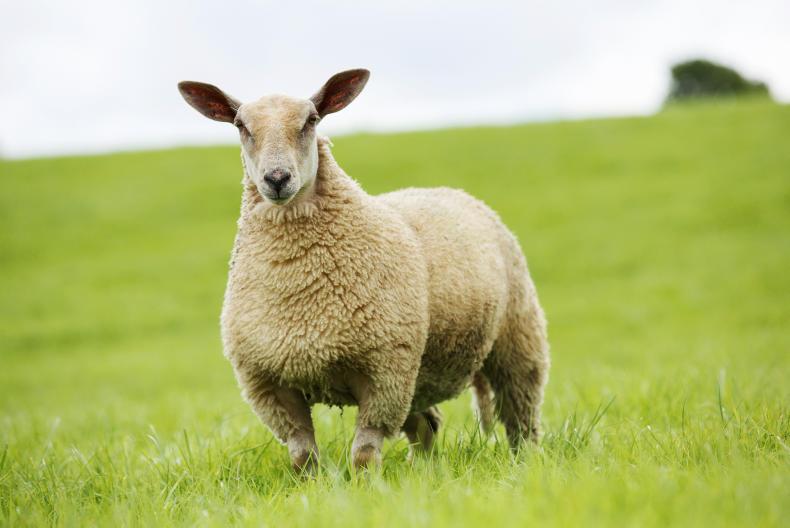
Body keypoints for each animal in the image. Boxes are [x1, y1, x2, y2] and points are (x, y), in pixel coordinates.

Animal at [177, 69, 550, 470]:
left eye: (311, 120)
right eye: (241, 125)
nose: (276, 178)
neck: (300, 284)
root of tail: (450, 191)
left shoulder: (384, 373)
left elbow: (365, 454)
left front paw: (368, 485)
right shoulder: (270, 386)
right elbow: (303, 456)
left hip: (515, 340)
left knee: (521, 416)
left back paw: (527, 463)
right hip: (419, 374)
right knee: (427, 425)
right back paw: (425, 470)